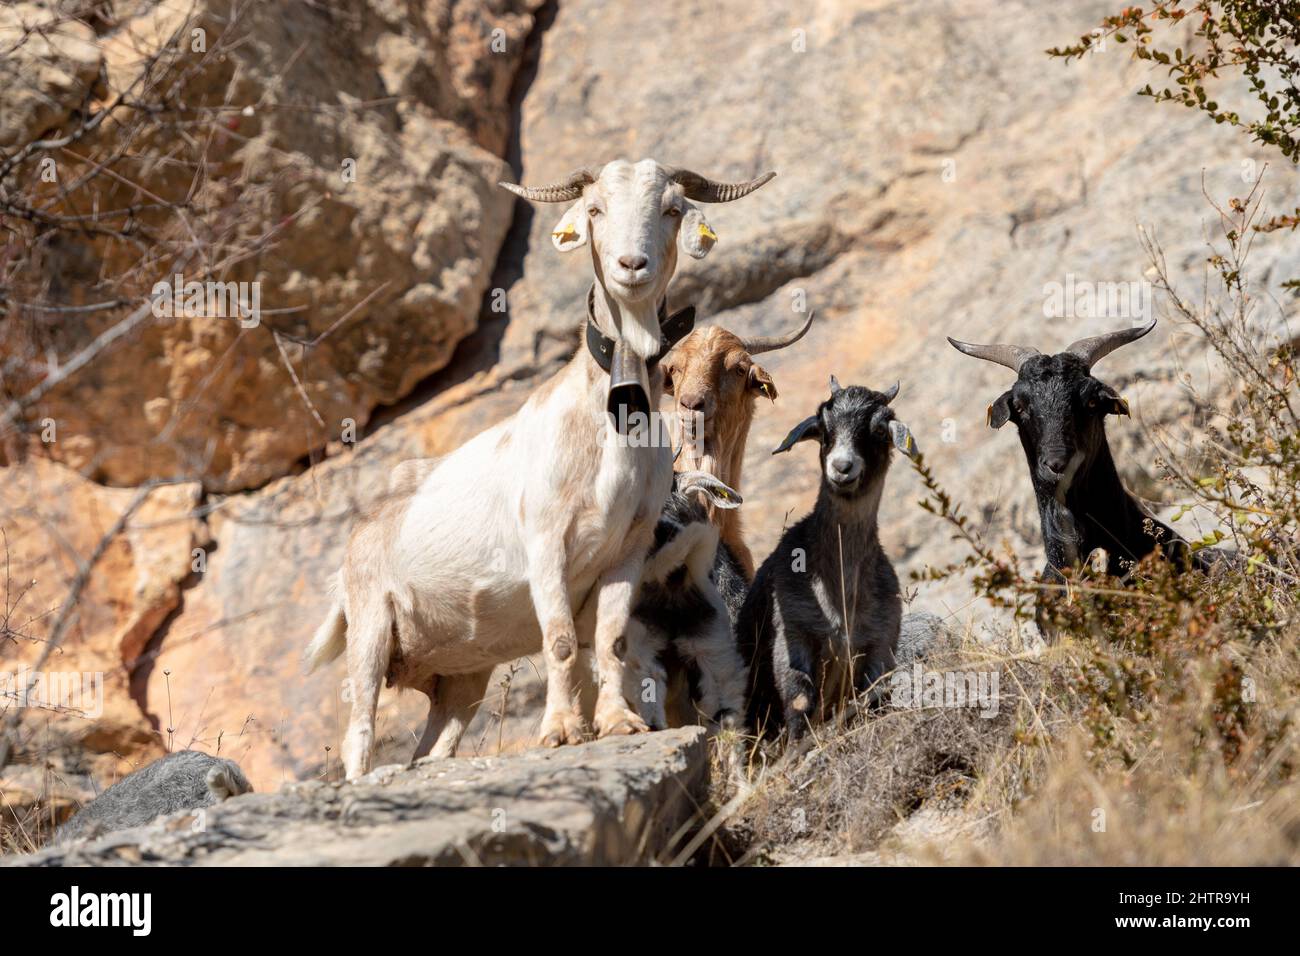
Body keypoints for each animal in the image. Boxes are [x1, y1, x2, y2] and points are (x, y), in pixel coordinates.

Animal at [306, 159, 774, 779]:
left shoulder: (627, 552)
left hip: (461, 679)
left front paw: (617, 723)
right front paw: (561, 732)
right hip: (370, 629)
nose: (631, 266)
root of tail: (361, 532)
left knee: (434, 746)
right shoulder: (546, 545)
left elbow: (611, 640)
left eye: (672, 209)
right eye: (595, 209)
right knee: (359, 727)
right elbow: (560, 640)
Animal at [737, 378, 919, 740]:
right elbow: (800, 700)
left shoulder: (881, 643)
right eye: (824, 428)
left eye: (880, 429)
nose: (842, 467)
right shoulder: (792, 632)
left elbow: (872, 700)